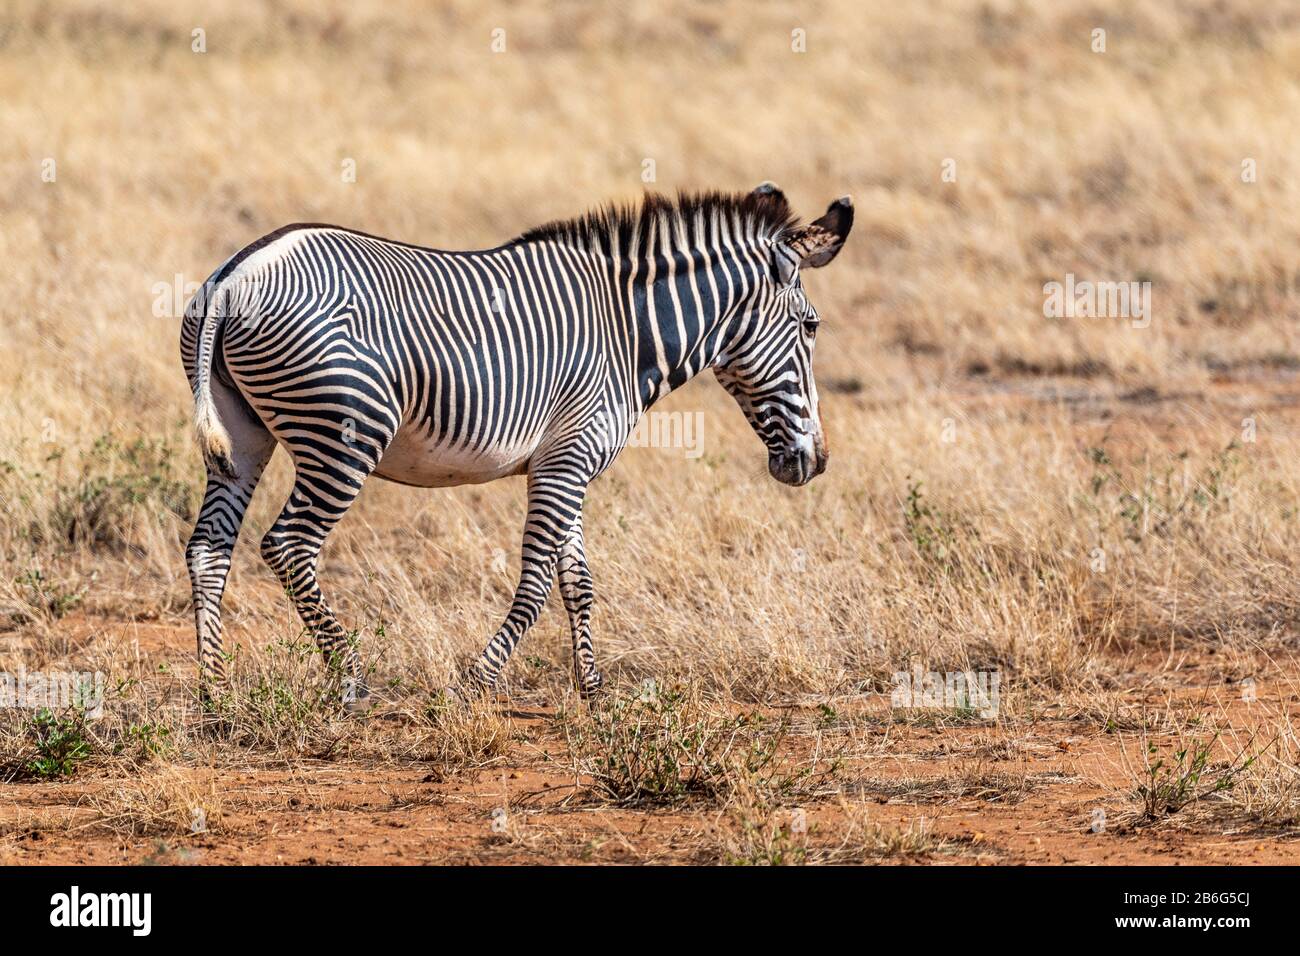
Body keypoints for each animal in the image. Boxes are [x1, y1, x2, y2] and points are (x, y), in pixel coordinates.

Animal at [181, 183, 853, 708]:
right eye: (811, 326)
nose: (814, 463)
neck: (627, 331)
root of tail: (233, 279)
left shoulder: (568, 461)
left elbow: (578, 582)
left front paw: (594, 692)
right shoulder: (568, 457)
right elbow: (534, 584)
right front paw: (476, 684)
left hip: (244, 439)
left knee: (208, 549)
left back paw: (217, 689)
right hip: (345, 435)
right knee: (288, 544)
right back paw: (352, 684)